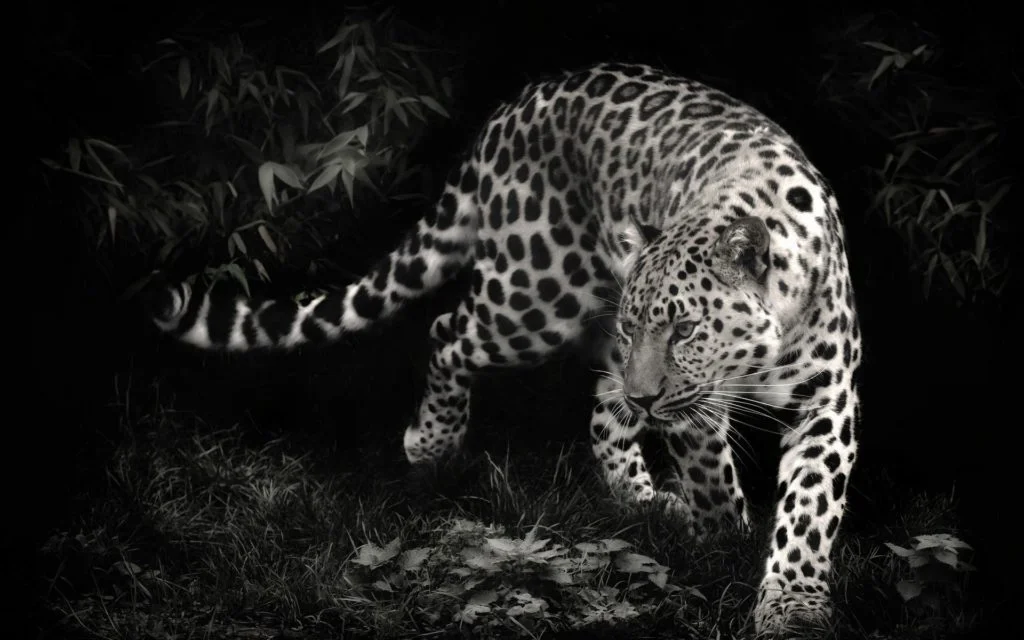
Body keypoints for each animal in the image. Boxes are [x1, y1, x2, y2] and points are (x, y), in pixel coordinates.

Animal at [151, 62, 862, 636]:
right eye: (640, 327)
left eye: (684, 329)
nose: (646, 397)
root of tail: (512, 108)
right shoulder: (689, 403)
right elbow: (711, 472)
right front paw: (723, 539)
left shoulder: (828, 401)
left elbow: (810, 506)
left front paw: (793, 604)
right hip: (535, 296)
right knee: (450, 332)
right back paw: (432, 446)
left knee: (601, 404)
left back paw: (638, 496)